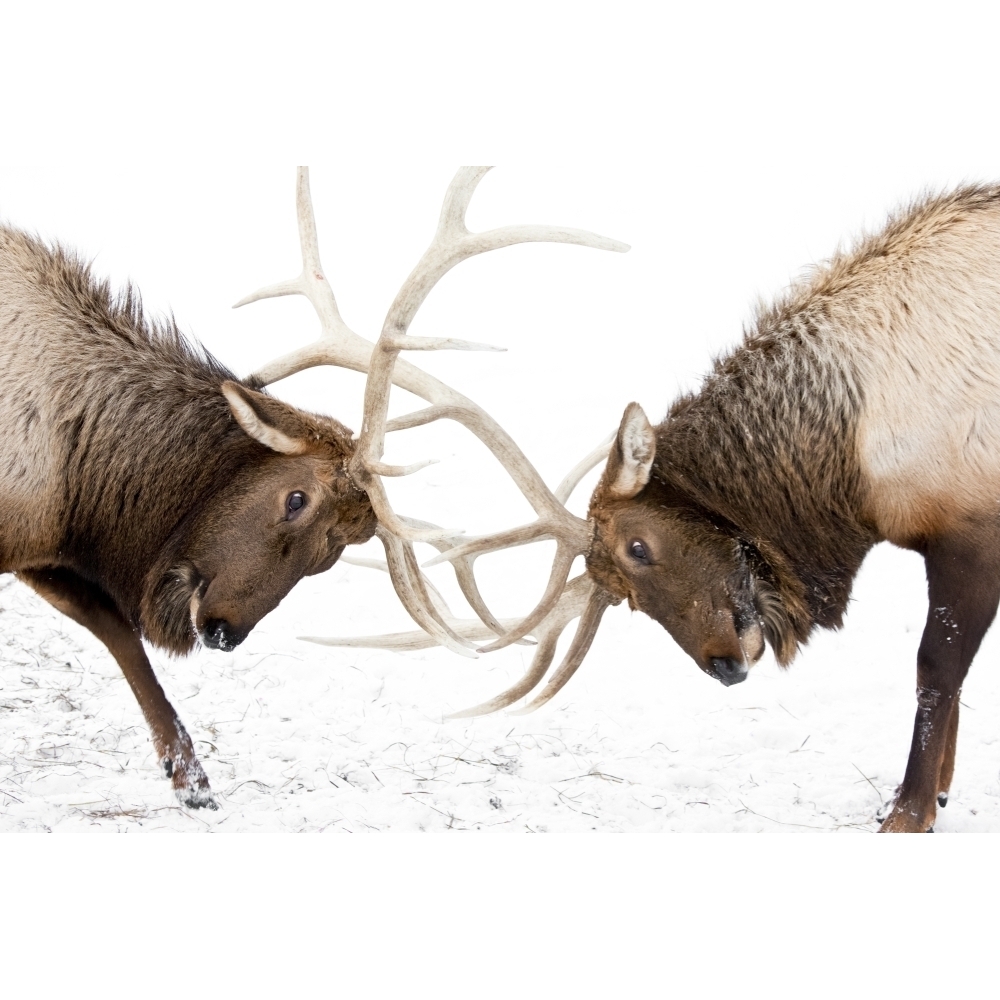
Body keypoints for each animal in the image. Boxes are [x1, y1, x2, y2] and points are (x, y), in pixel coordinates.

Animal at [0, 168, 627, 809]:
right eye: (295, 498)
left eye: (334, 551)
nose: (223, 632)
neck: (74, 489)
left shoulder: (42, 551)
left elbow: (115, 629)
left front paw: (192, 778)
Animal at [305, 180, 1000, 833]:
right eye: (626, 597)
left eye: (638, 545)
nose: (724, 666)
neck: (852, 467)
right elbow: (951, 678)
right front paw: (934, 794)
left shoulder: (970, 532)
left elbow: (936, 671)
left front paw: (908, 812)